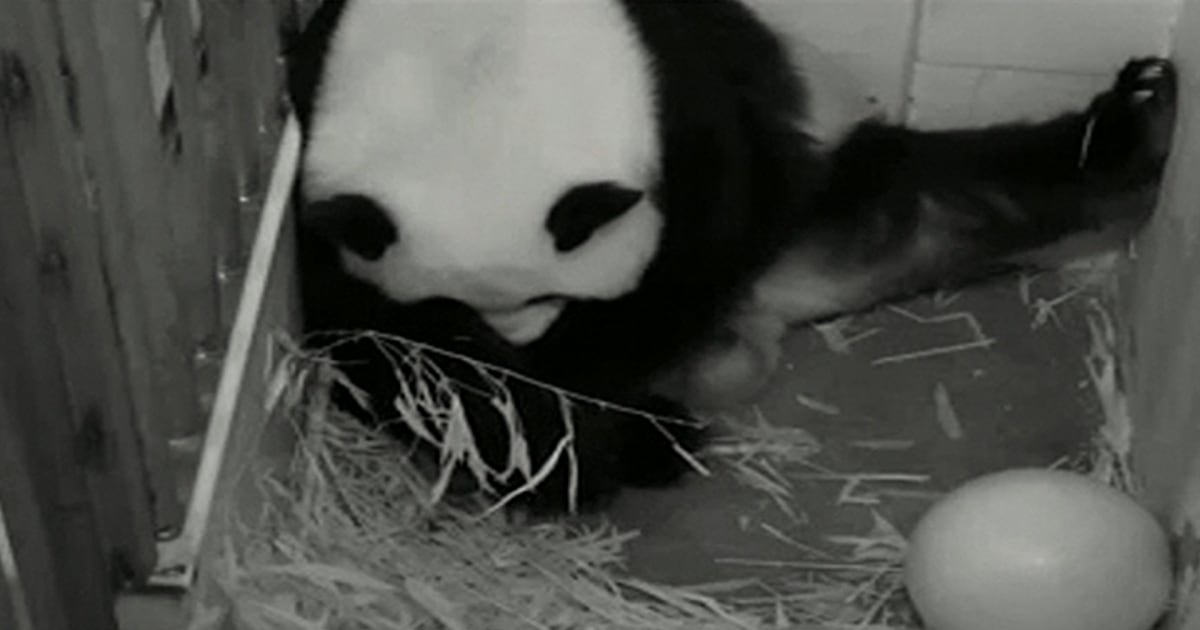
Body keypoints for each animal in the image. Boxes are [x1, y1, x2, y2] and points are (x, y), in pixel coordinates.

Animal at [286, 0, 1177, 513]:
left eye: (556, 300)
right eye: (459, 308)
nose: (530, 346)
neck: (477, 60)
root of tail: (775, 305)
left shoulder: (683, 94)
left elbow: (696, 240)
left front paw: (599, 410)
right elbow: (390, 343)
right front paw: (573, 434)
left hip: (842, 182)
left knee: (956, 198)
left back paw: (1131, 128)